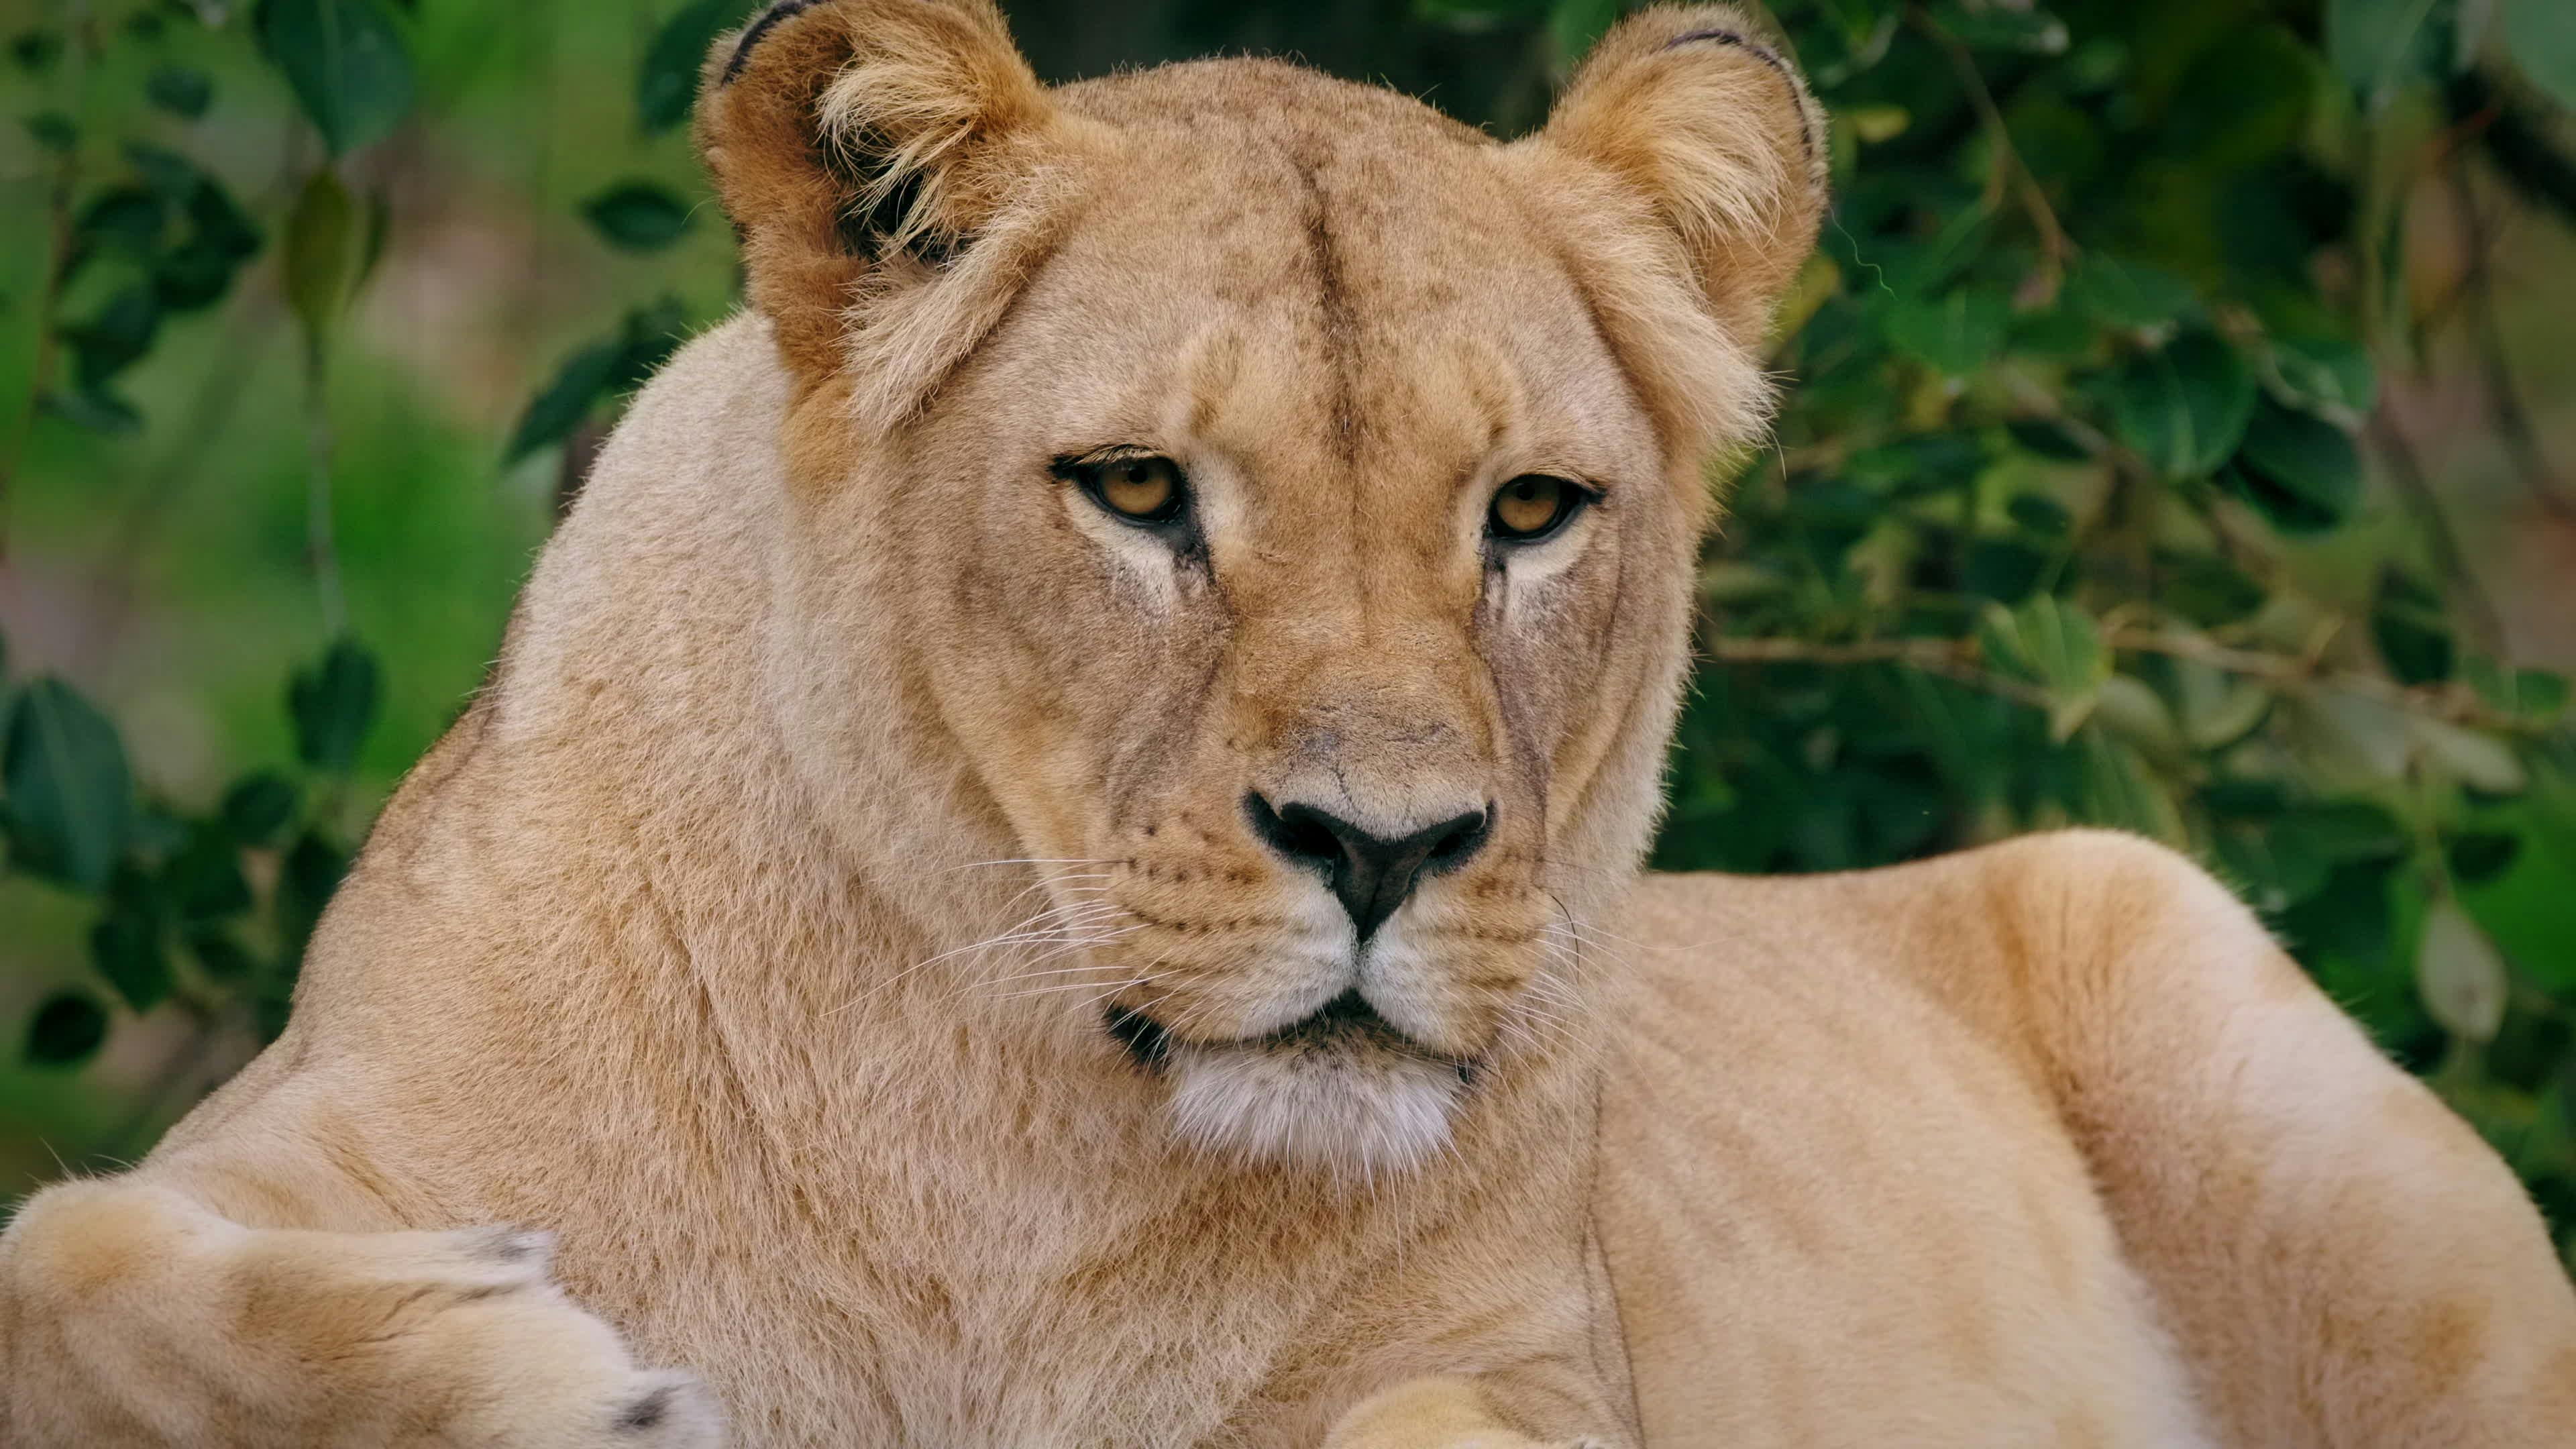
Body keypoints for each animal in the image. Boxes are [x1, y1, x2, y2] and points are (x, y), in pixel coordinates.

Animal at [5, 2, 2572, 1445]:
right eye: (1139, 492)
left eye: (1528, 513)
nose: (1383, 848)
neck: (997, 1132)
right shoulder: (279, 1140)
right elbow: (64, 1263)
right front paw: (544, 1379)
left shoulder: (1527, 1364)